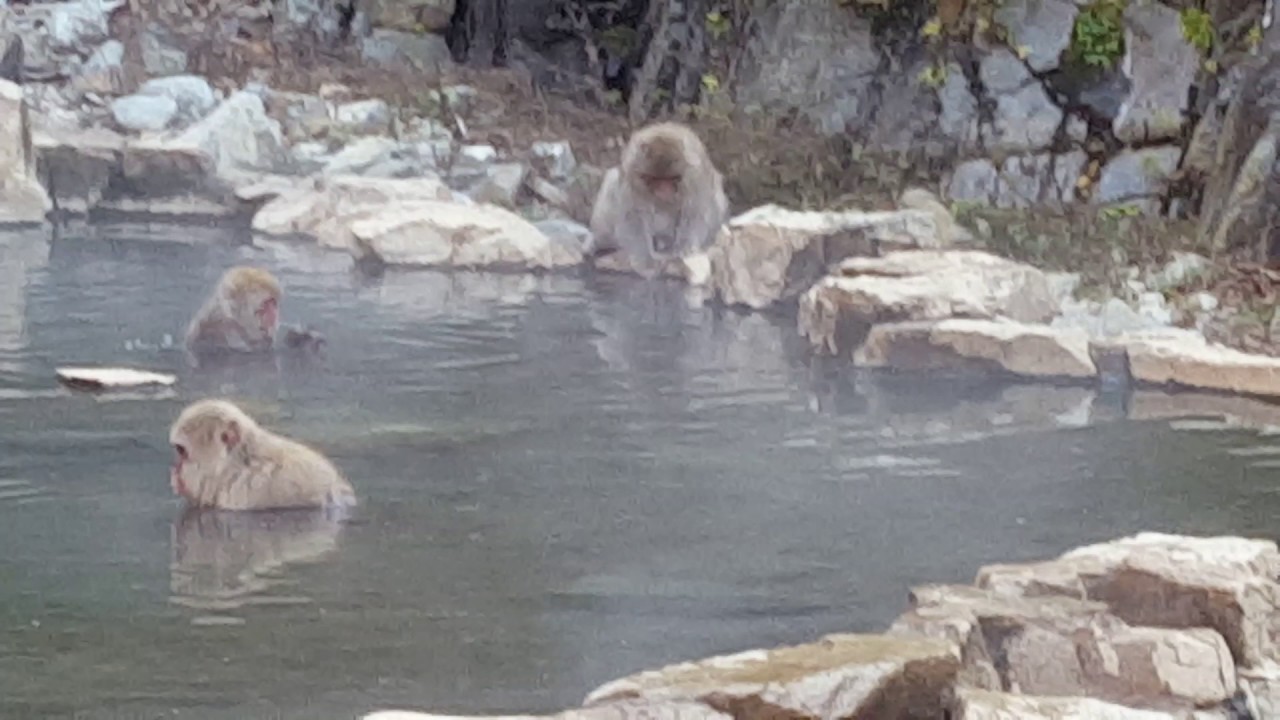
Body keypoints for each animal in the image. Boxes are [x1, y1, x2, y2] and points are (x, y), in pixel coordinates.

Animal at [587, 122, 729, 277]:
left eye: (670, 179)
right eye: (655, 179)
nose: (663, 190)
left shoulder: (695, 177)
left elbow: (696, 212)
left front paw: (683, 251)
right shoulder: (631, 175)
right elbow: (631, 215)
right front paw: (646, 262)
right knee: (612, 183)